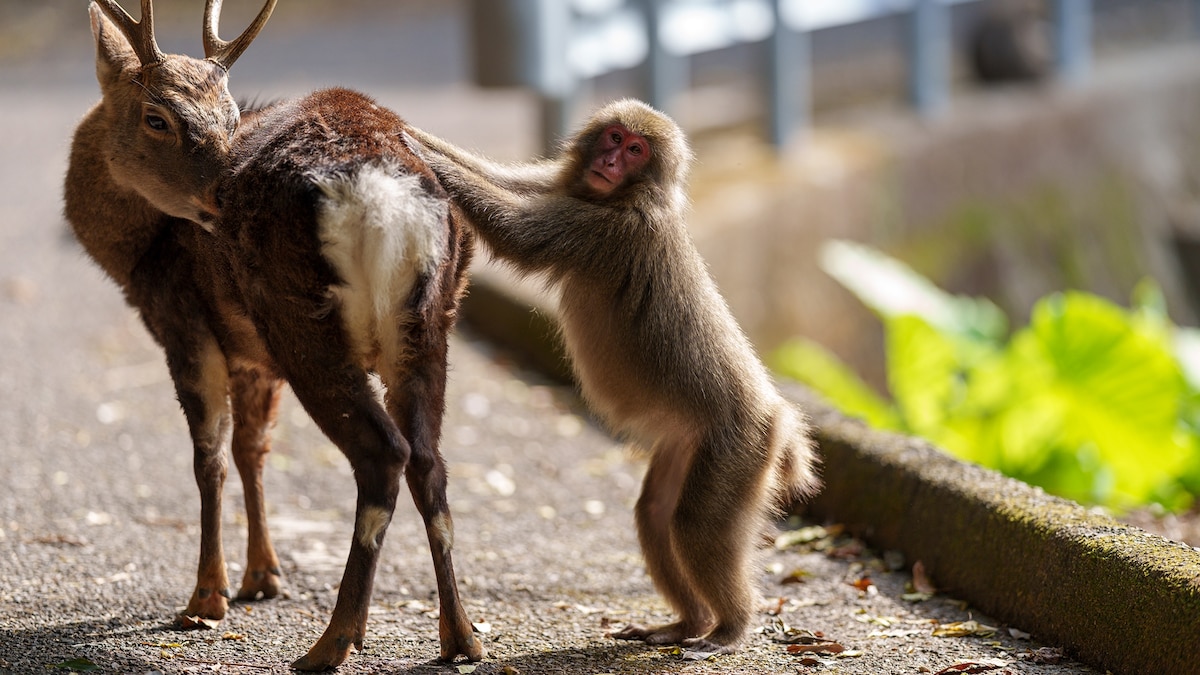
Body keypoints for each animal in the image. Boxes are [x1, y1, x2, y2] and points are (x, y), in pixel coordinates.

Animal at [63, 0, 485, 669]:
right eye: (157, 117)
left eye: (230, 116)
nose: (220, 193)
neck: (136, 253)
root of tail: (384, 191)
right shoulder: (253, 355)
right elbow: (251, 448)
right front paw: (263, 577)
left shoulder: (184, 322)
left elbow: (208, 457)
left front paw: (206, 598)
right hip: (430, 321)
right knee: (429, 461)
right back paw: (461, 635)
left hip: (300, 317)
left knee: (382, 454)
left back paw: (334, 640)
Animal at [403, 99, 820, 655]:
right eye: (615, 138)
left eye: (636, 150)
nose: (610, 161)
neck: (623, 195)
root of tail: (778, 417)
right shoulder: (569, 190)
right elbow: (504, 181)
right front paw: (405, 130)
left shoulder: (610, 231)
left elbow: (515, 231)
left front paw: (412, 145)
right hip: (688, 444)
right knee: (656, 514)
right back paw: (685, 623)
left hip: (740, 447)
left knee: (694, 525)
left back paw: (730, 627)